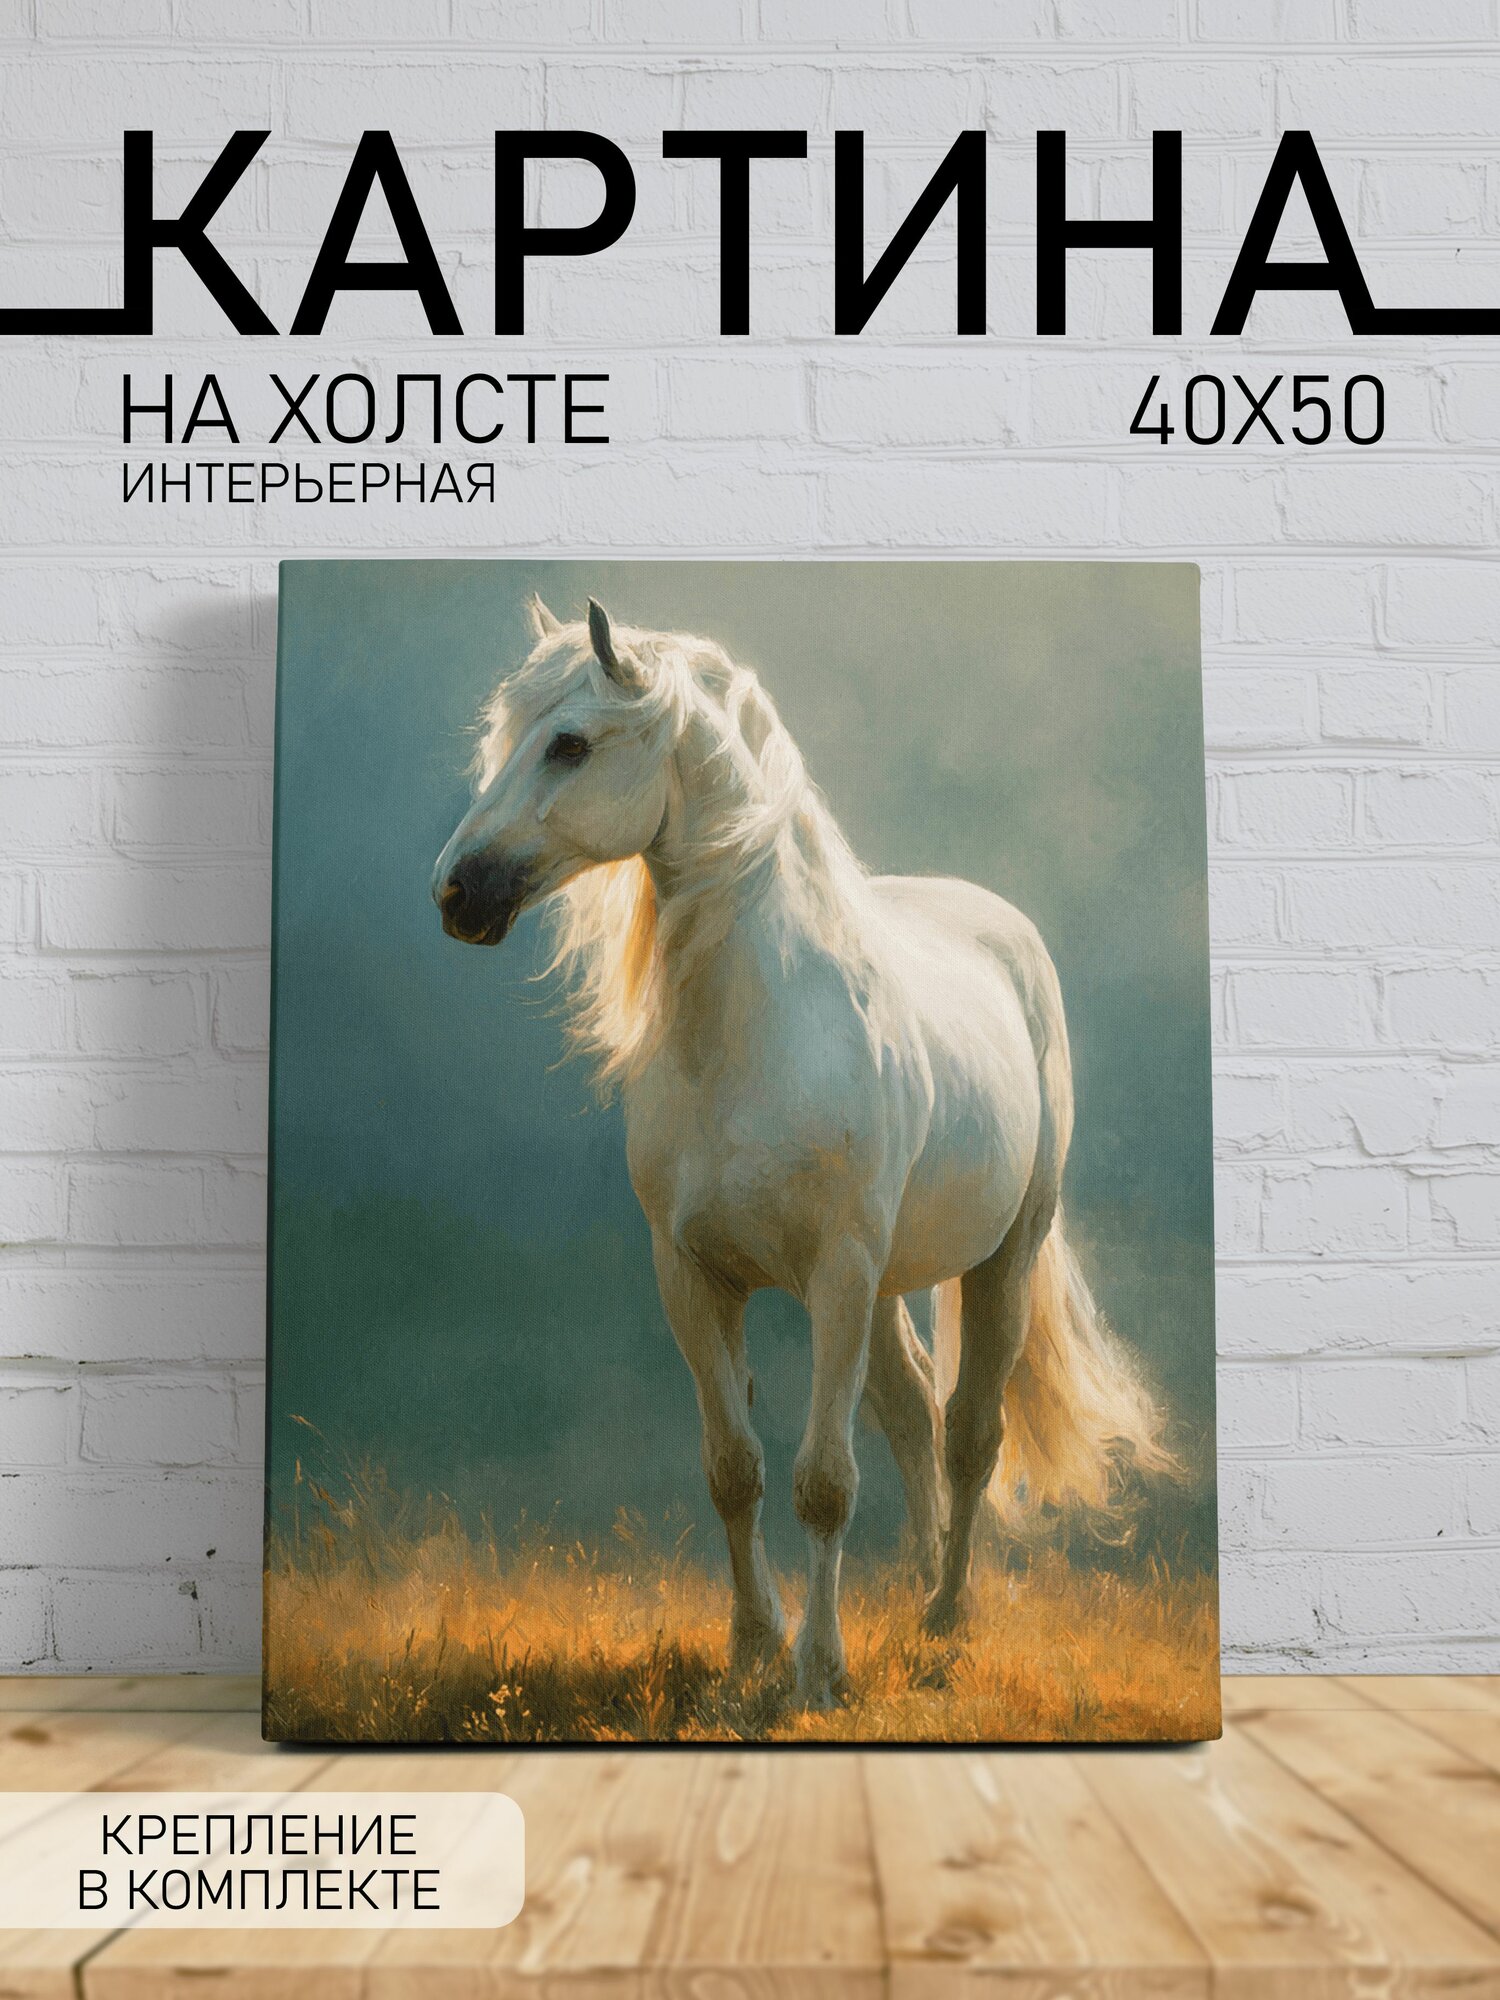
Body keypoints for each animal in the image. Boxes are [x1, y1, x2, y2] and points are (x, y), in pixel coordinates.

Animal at [433, 594, 1172, 1710]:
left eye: (570, 743)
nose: (456, 893)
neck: (757, 1030)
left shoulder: (837, 1272)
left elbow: (825, 1483)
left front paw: (819, 1673)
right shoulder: (694, 1278)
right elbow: (734, 1469)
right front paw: (753, 1645)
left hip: (996, 1258)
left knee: (968, 1431)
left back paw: (947, 1619)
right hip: (888, 1285)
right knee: (912, 1411)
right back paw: (915, 1589)